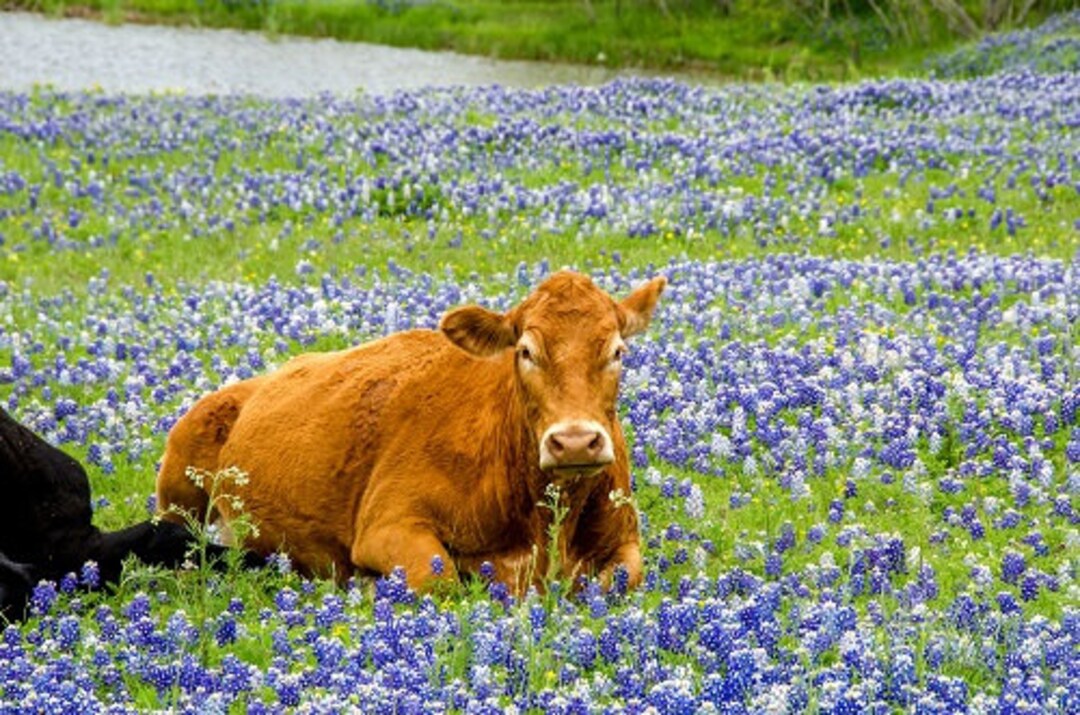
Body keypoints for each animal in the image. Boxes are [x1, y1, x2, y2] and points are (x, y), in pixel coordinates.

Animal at [156, 271, 665, 595]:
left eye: (617, 351)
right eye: (525, 351)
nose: (575, 442)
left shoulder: (625, 541)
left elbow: (622, 579)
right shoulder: (389, 523)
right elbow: (438, 577)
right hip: (177, 496)